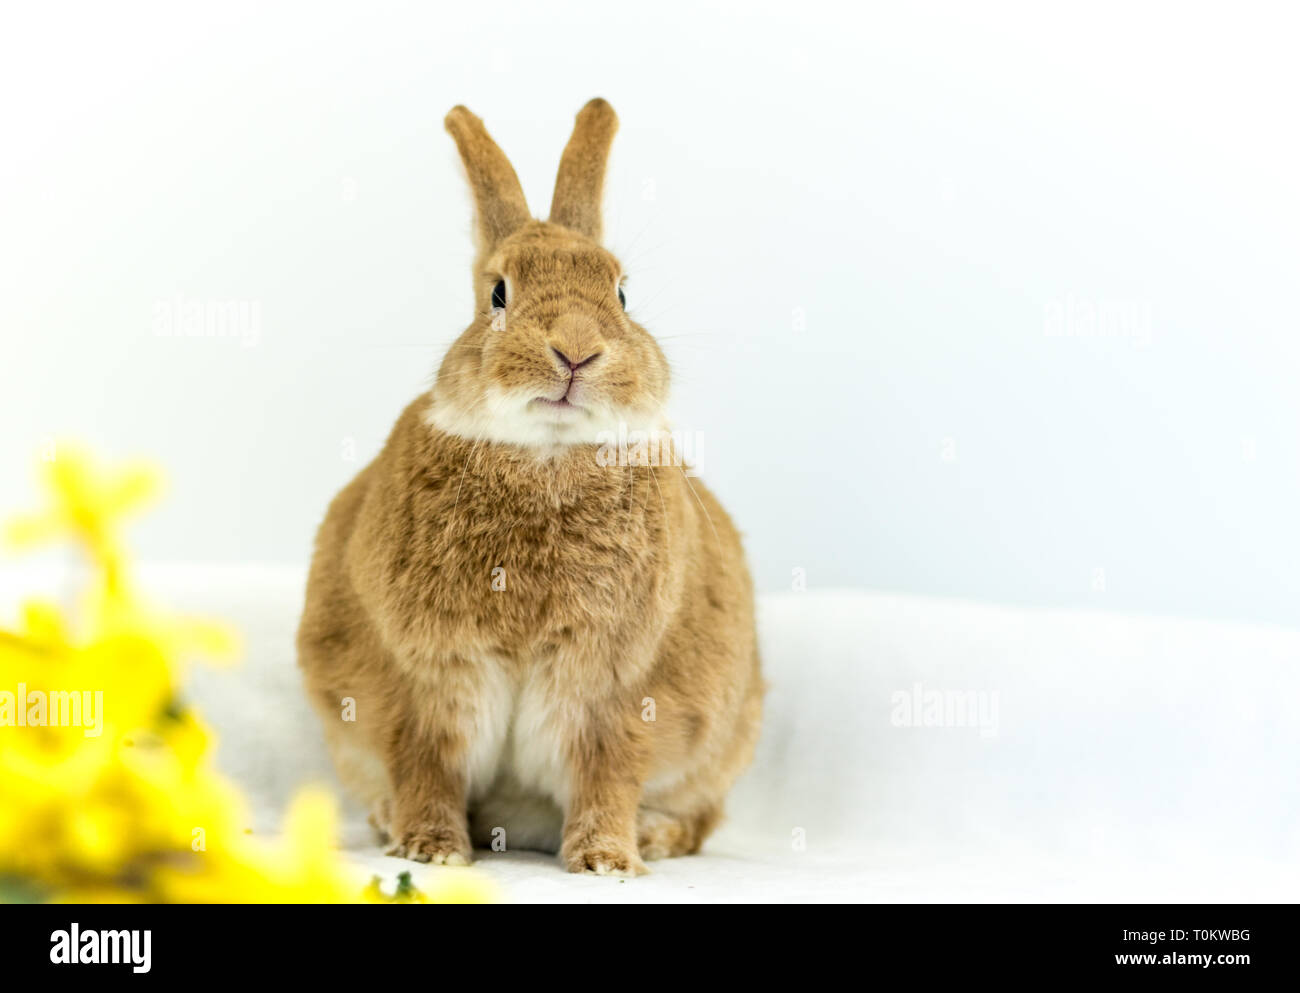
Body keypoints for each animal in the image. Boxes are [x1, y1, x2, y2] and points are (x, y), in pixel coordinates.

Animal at [297, 99, 763, 876]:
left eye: (621, 293)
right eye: (498, 293)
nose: (576, 349)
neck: (545, 456)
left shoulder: (615, 691)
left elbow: (609, 774)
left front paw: (607, 860)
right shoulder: (426, 681)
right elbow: (425, 765)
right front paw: (431, 851)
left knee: (701, 816)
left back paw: (655, 836)